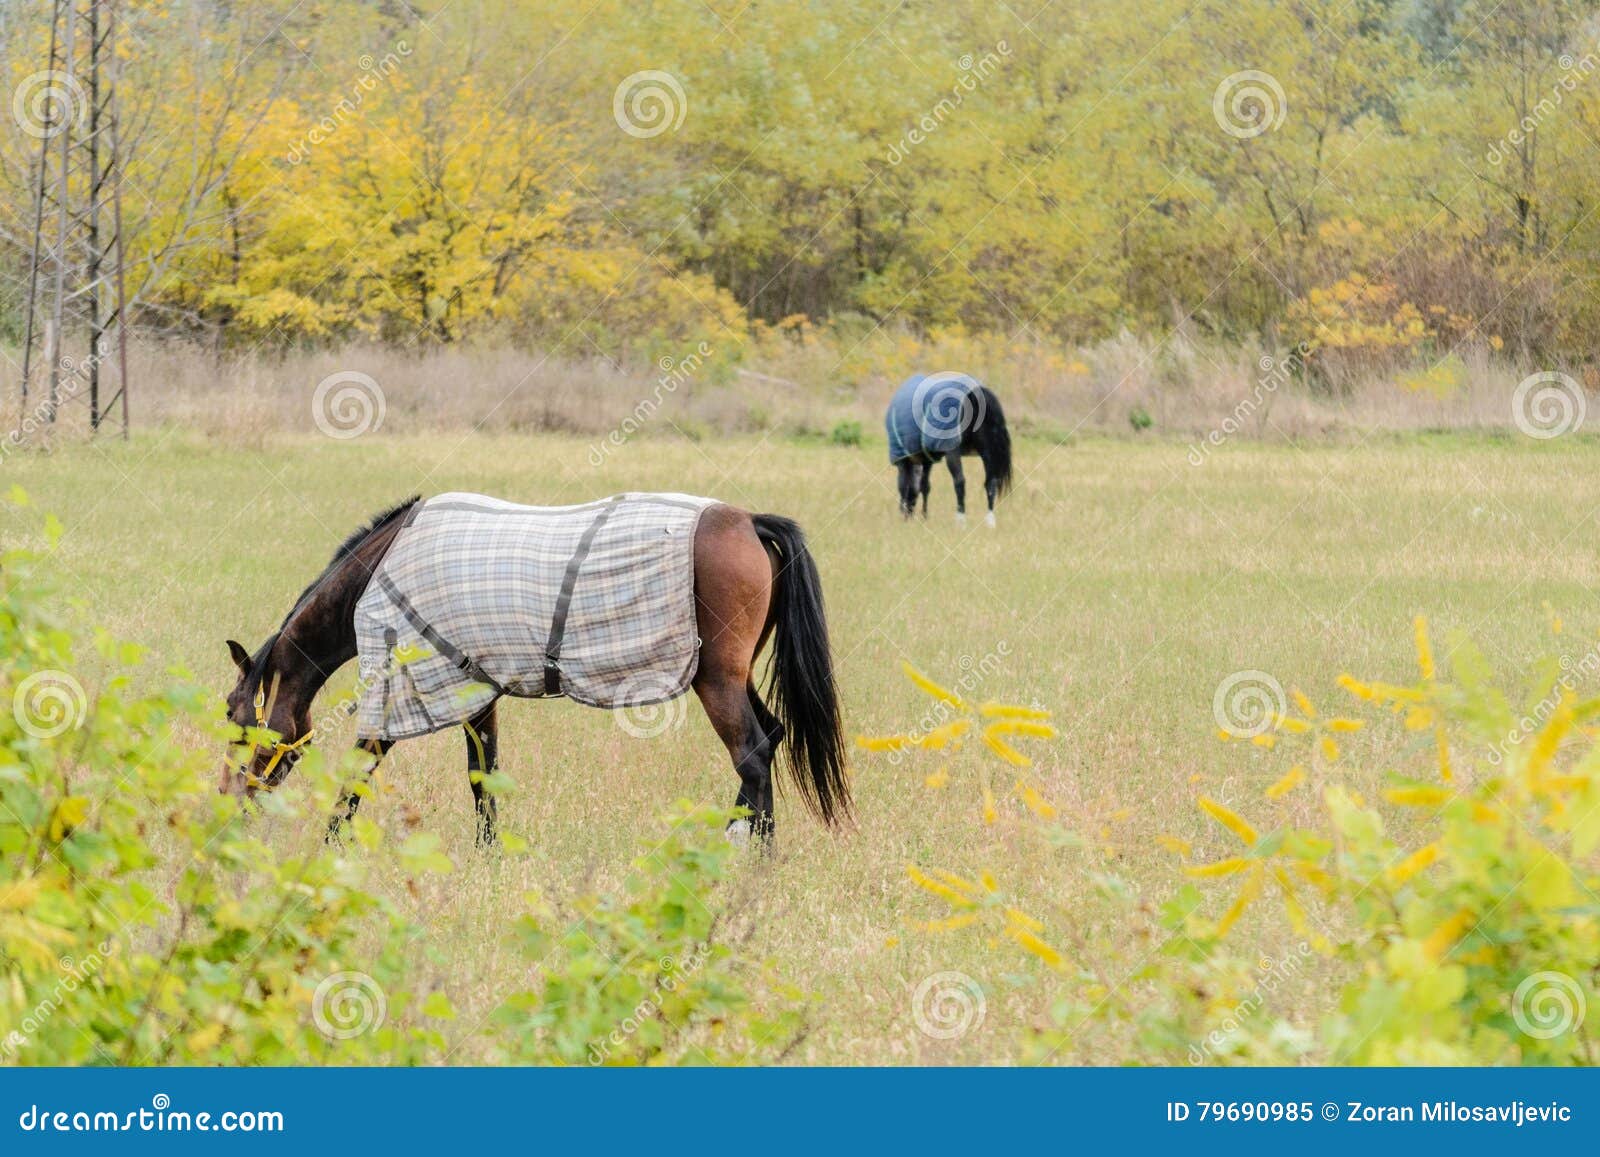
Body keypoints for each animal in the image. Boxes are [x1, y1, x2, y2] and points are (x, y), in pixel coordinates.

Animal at [219, 493, 851, 848]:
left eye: (232, 717)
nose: (227, 805)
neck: (383, 568)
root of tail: (747, 522)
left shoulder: (407, 690)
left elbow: (359, 770)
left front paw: (327, 847)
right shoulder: (475, 692)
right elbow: (482, 776)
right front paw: (489, 854)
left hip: (716, 683)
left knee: (752, 754)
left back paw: (753, 859)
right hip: (731, 678)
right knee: (770, 737)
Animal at [884, 372, 1012, 525]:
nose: (906, 515)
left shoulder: (904, 461)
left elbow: (905, 486)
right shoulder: (927, 459)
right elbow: (924, 486)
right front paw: (924, 516)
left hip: (953, 452)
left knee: (960, 482)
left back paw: (961, 520)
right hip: (986, 451)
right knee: (990, 483)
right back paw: (990, 522)